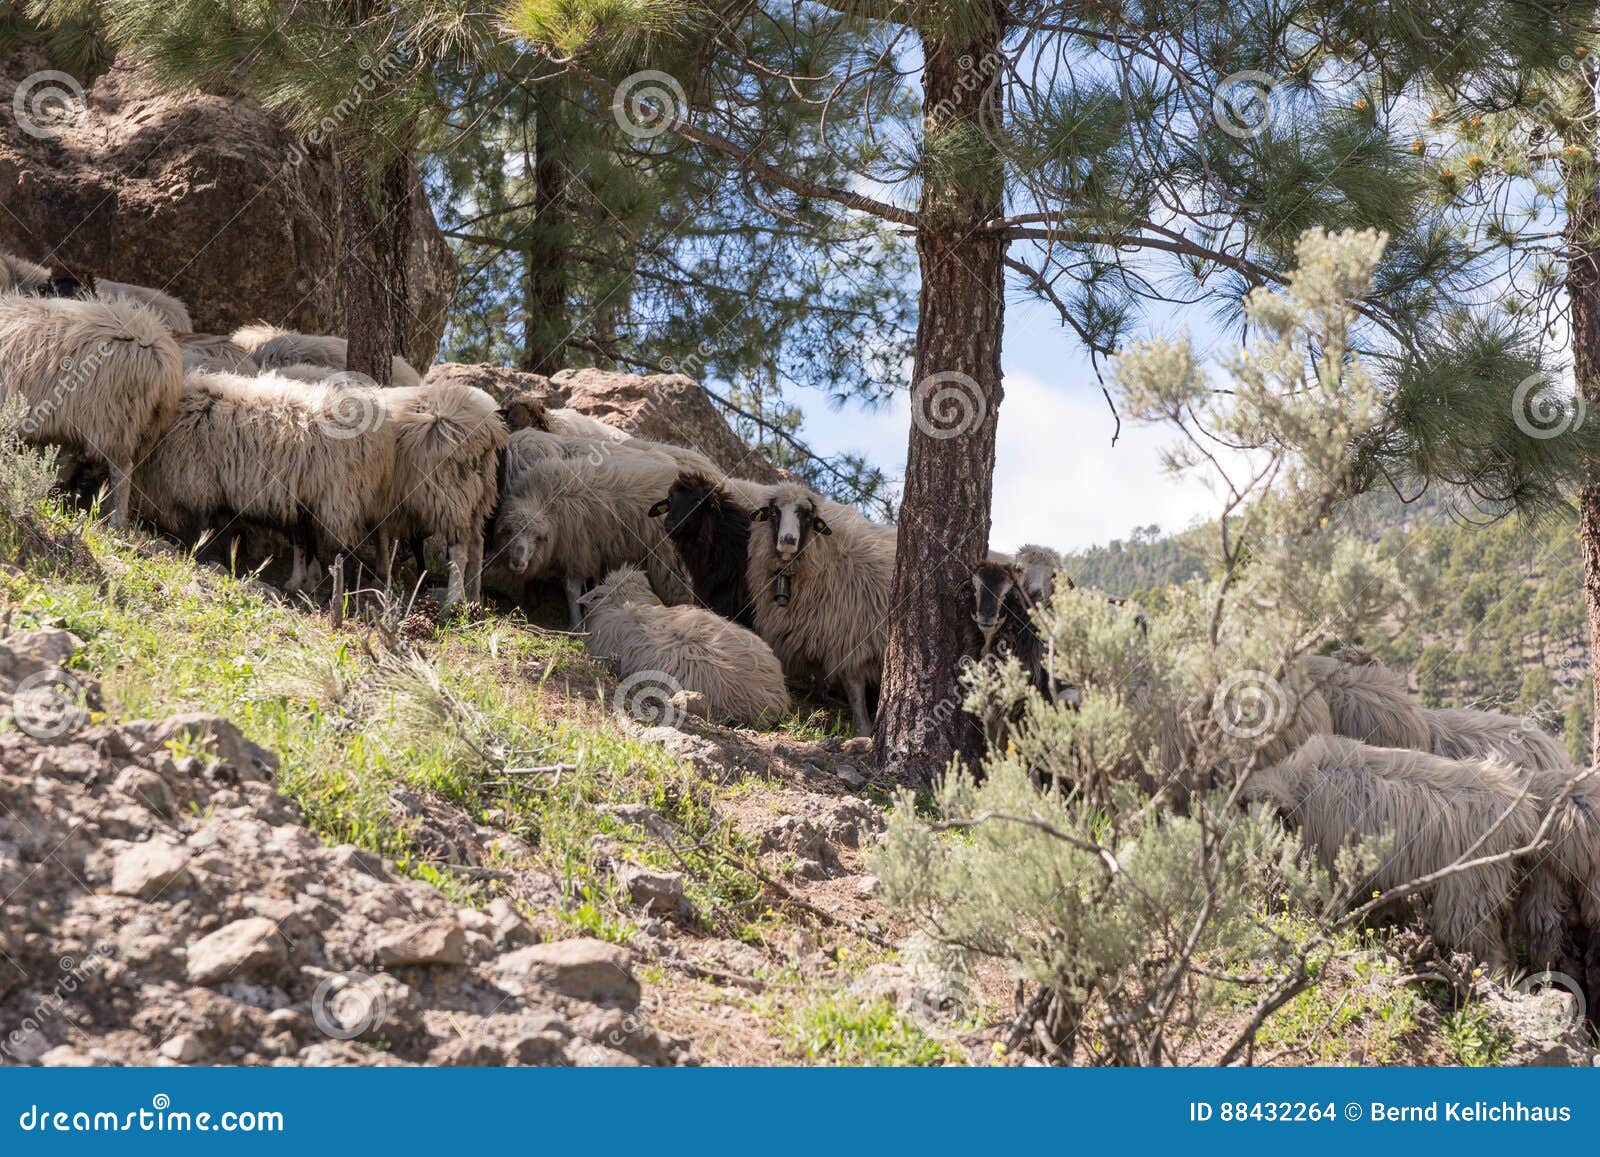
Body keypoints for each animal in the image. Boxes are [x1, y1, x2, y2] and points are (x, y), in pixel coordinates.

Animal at [490, 446, 693, 627]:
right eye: (509, 532)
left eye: (538, 537)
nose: (518, 563)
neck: (544, 499)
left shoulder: (579, 551)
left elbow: (572, 590)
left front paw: (576, 624)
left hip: (669, 557)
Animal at [745, 481, 896, 735]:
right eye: (774, 512)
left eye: (806, 515)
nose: (788, 540)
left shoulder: (850, 635)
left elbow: (854, 688)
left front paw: (863, 729)